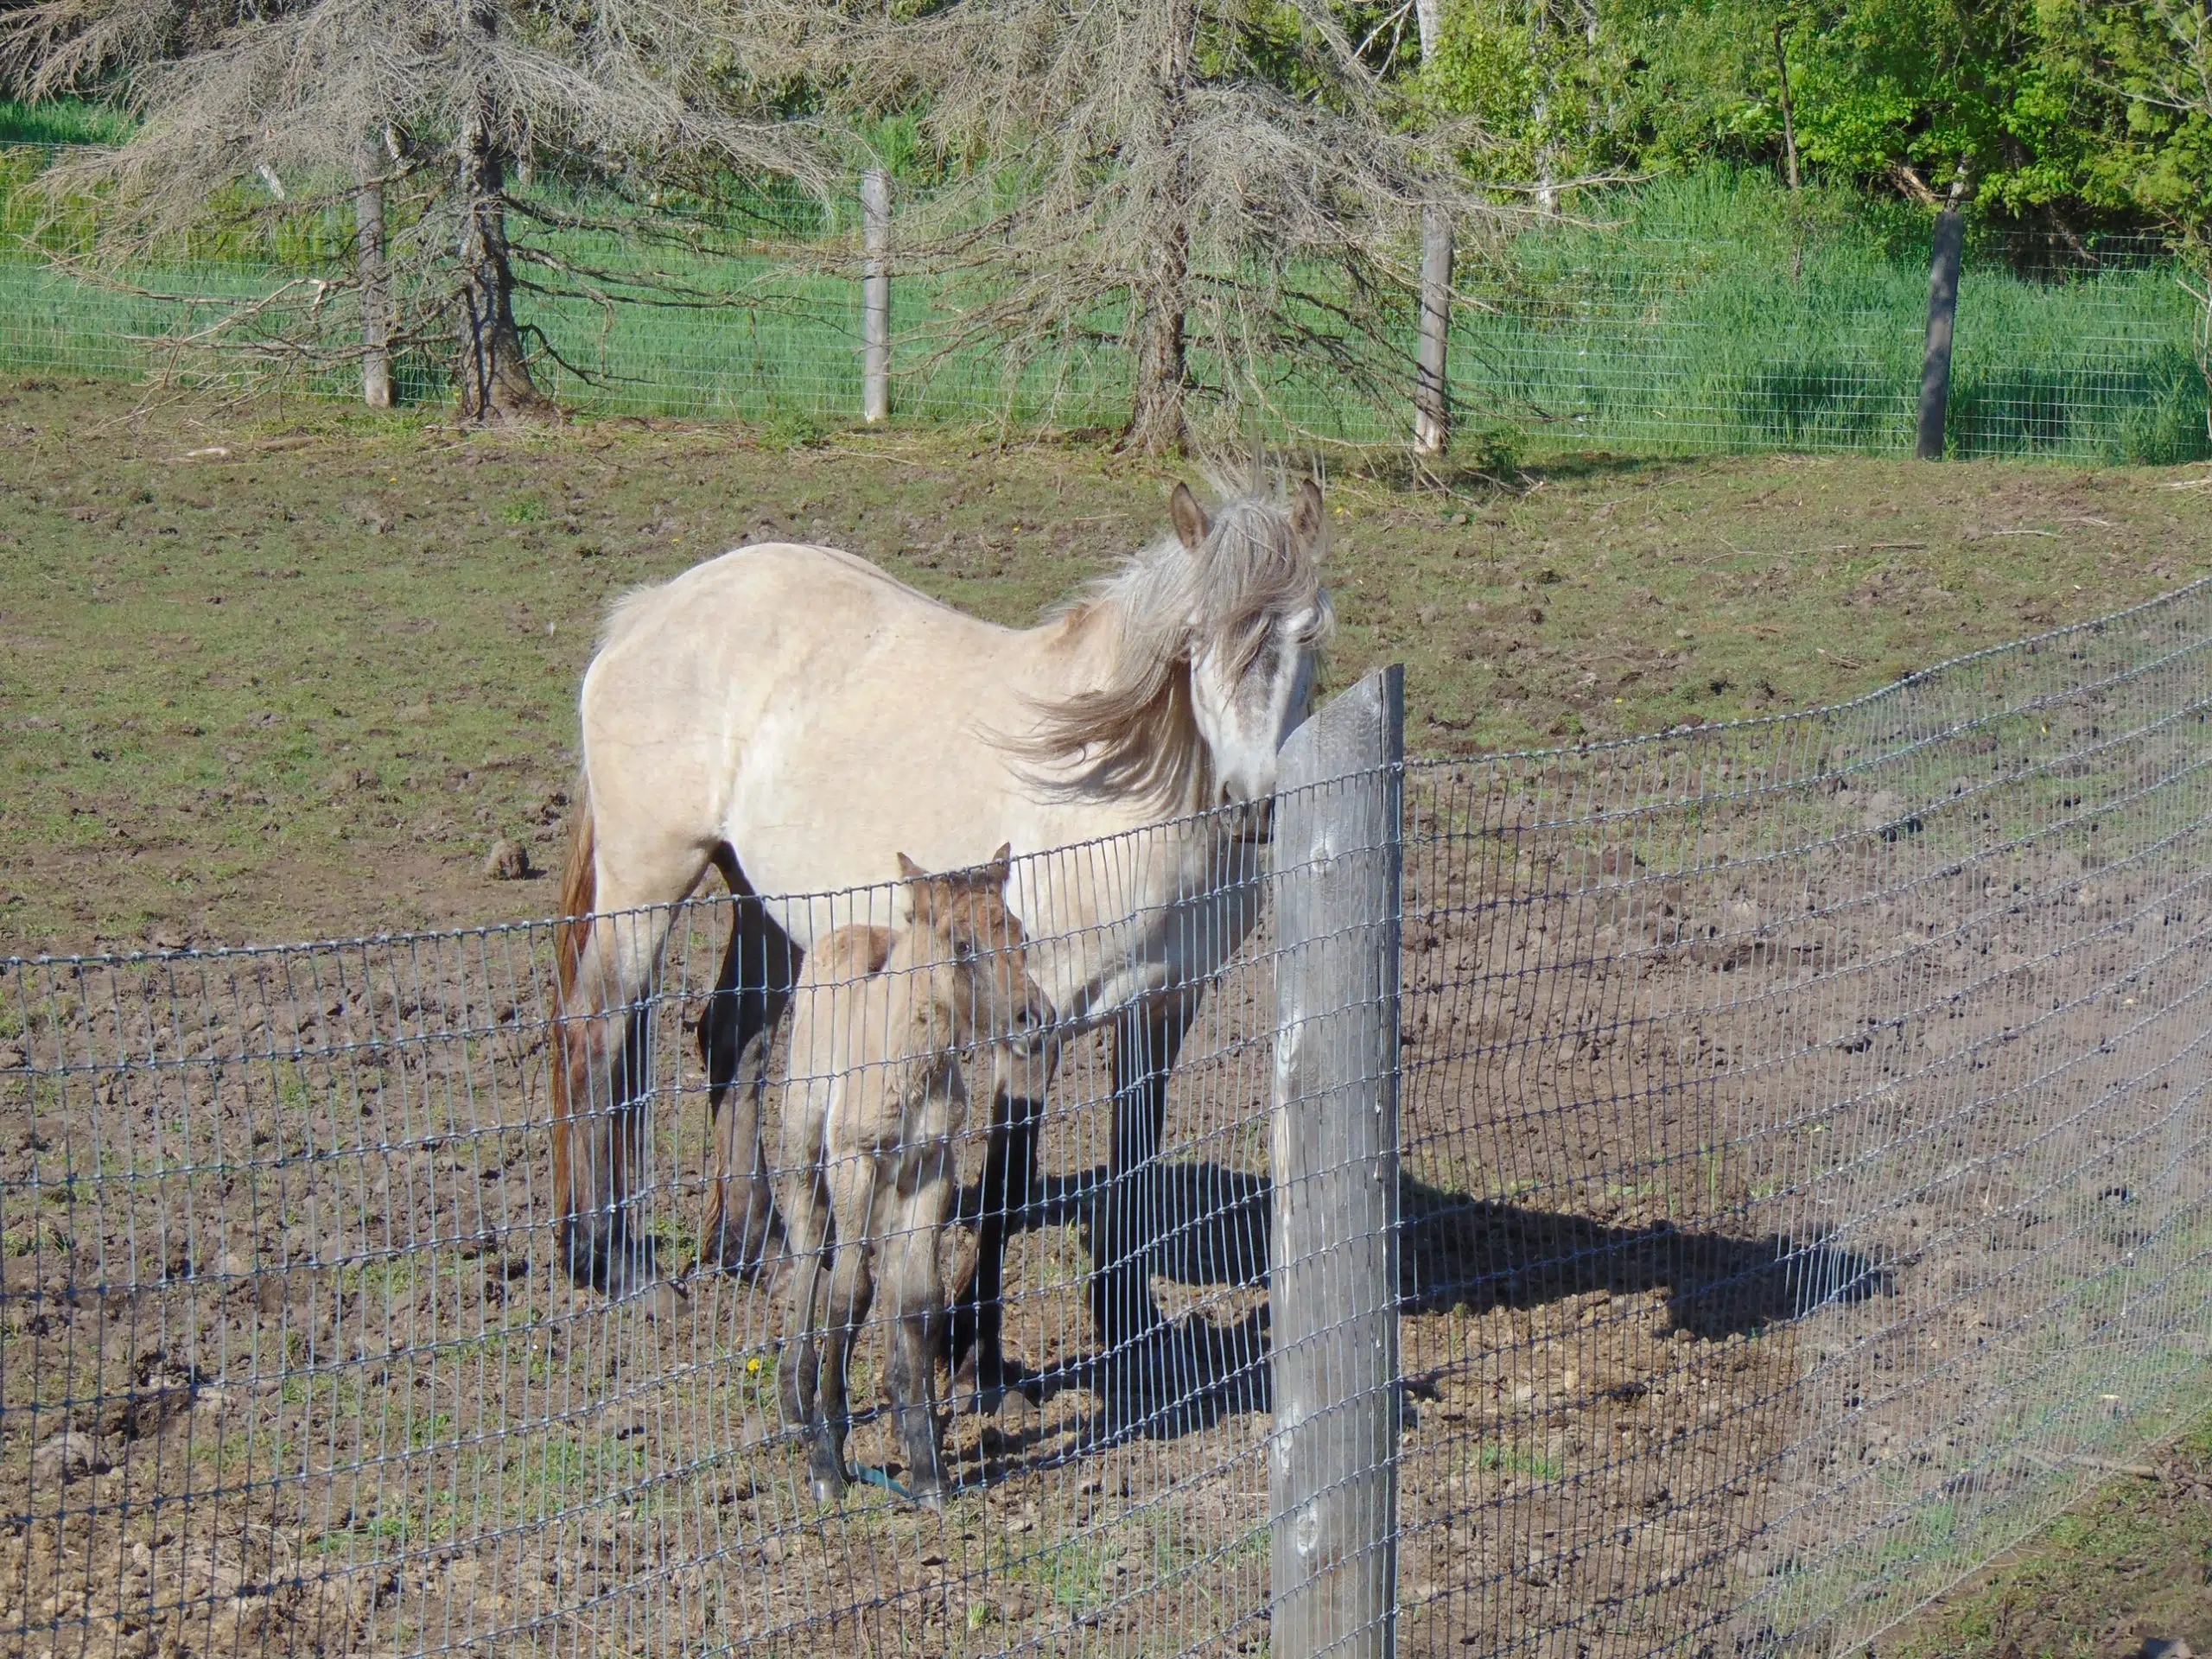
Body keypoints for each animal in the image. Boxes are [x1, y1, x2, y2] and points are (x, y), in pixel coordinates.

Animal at [551, 477, 1331, 1411]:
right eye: (1193, 638)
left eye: (1308, 632)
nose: (1253, 803)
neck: (1114, 794)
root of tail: (650, 609)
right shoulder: (1036, 1019)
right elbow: (1004, 1186)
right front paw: (977, 1360)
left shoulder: (1162, 1006)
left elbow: (1134, 1166)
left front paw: (1132, 1333)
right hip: (647, 881)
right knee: (596, 1034)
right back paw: (616, 1266)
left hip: (767, 905)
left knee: (733, 1042)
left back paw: (760, 1255)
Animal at [778, 849, 1054, 1508]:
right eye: (961, 944)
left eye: (1020, 934)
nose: (1035, 1020)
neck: (911, 1061)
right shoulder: (853, 1162)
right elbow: (845, 1296)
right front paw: (827, 1465)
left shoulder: (931, 1168)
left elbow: (918, 1299)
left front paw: (927, 1464)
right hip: (806, 1152)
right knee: (810, 1259)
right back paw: (798, 1406)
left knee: (875, 1279)